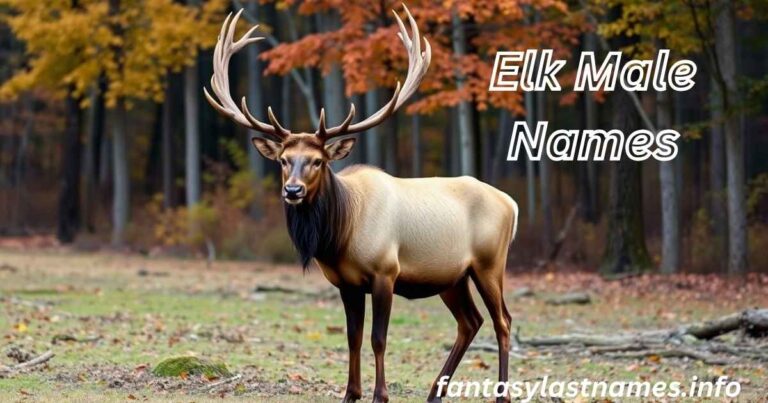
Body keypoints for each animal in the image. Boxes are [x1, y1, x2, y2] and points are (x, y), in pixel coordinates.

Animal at [204, 6, 519, 403]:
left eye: (318, 161)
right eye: (284, 160)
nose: (292, 190)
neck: (339, 236)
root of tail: (512, 203)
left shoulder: (385, 272)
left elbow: (378, 338)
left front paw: (379, 394)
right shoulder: (346, 282)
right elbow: (352, 337)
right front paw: (350, 392)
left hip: (490, 263)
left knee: (502, 320)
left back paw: (501, 394)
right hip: (452, 276)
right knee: (470, 321)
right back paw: (435, 391)